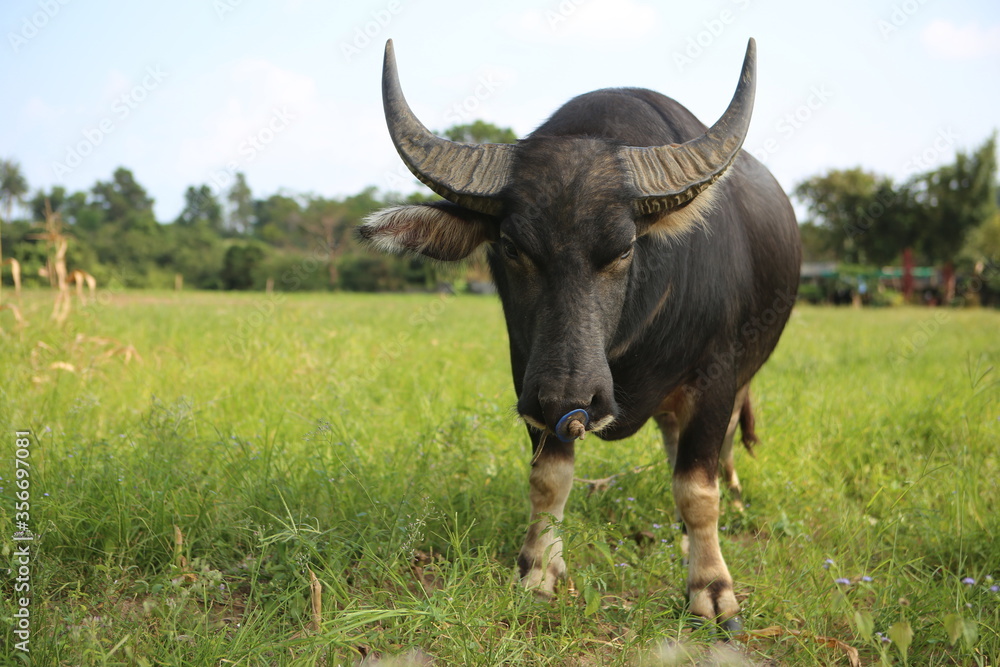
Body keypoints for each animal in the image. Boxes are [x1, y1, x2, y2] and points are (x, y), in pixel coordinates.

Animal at [359, 39, 801, 631]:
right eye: (512, 247)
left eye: (623, 248)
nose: (574, 398)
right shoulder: (531, 378)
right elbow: (549, 479)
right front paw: (539, 567)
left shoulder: (714, 378)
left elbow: (696, 488)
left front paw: (711, 588)